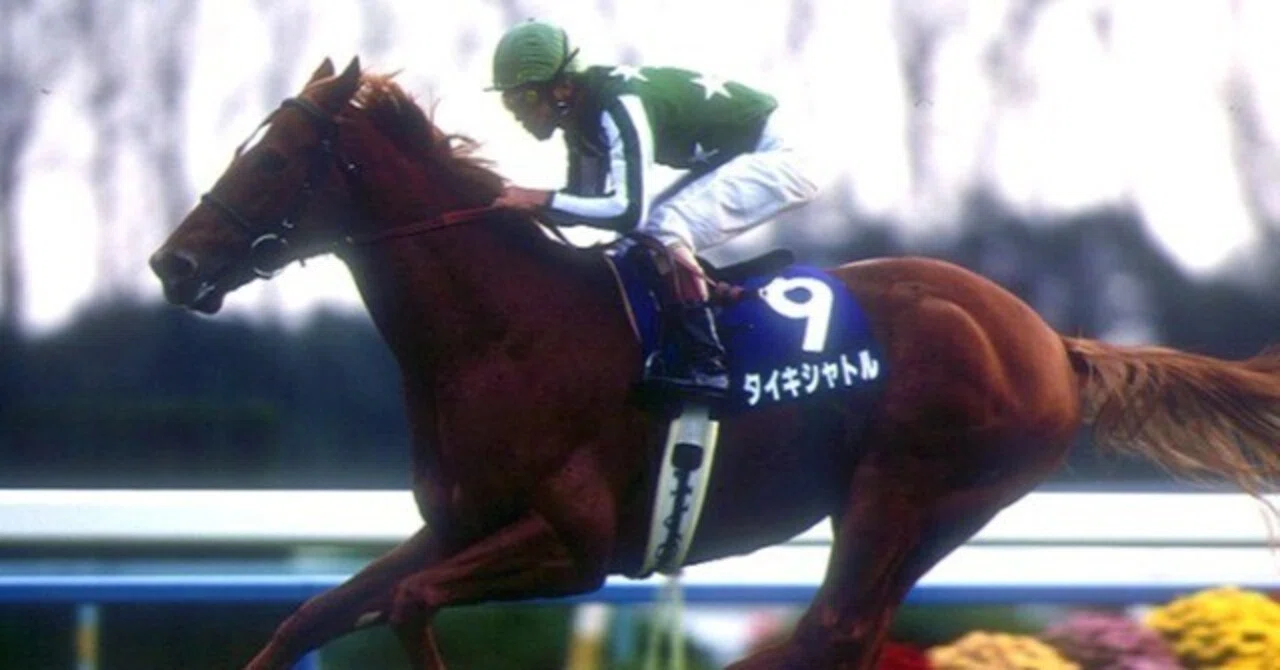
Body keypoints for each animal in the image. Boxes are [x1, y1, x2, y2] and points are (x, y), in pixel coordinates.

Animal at [149, 57, 1280, 670]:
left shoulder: (575, 544)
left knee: (832, 630)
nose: (172, 264)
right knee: (844, 634)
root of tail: (1051, 339)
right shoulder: (459, 523)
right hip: (923, 513)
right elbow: (318, 610)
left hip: (908, 488)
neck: (501, 331)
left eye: (275, 159)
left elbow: (409, 604)